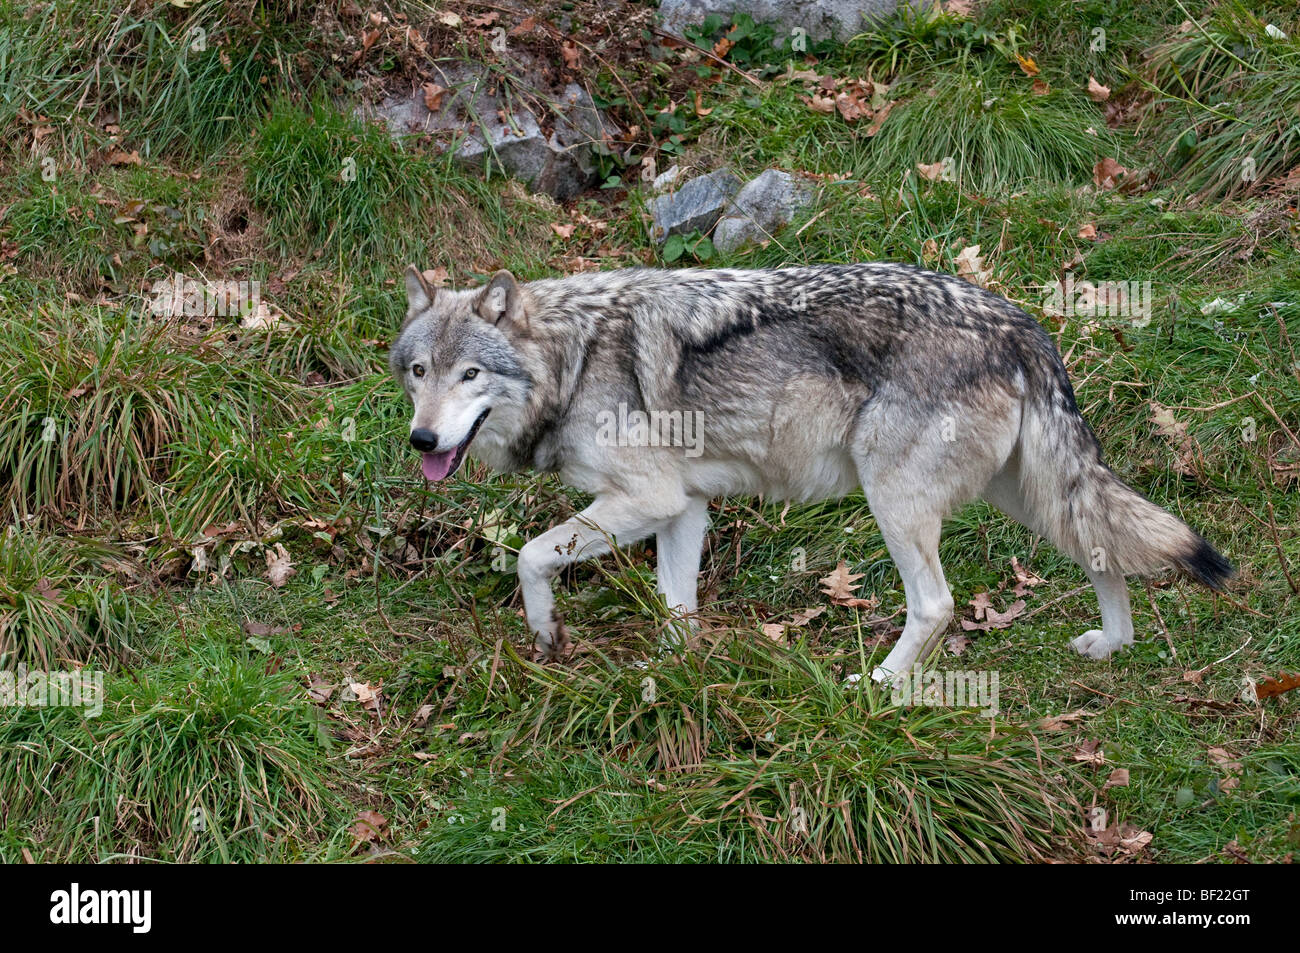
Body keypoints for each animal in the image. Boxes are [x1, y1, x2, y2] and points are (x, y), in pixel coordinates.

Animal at [389, 262, 1232, 682]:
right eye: (419, 370)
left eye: (470, 374)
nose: (421, 436)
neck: (570, 358)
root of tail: (1021, 320)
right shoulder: (684, 506)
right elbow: (677, 608)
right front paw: (677, 677)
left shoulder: (648, 496)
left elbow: (530, 556)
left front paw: (545, 634)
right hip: (1029, 497)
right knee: (1101, 549)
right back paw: (1112, 644)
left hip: (893, 501)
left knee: (937, 604)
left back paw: (880, 688)